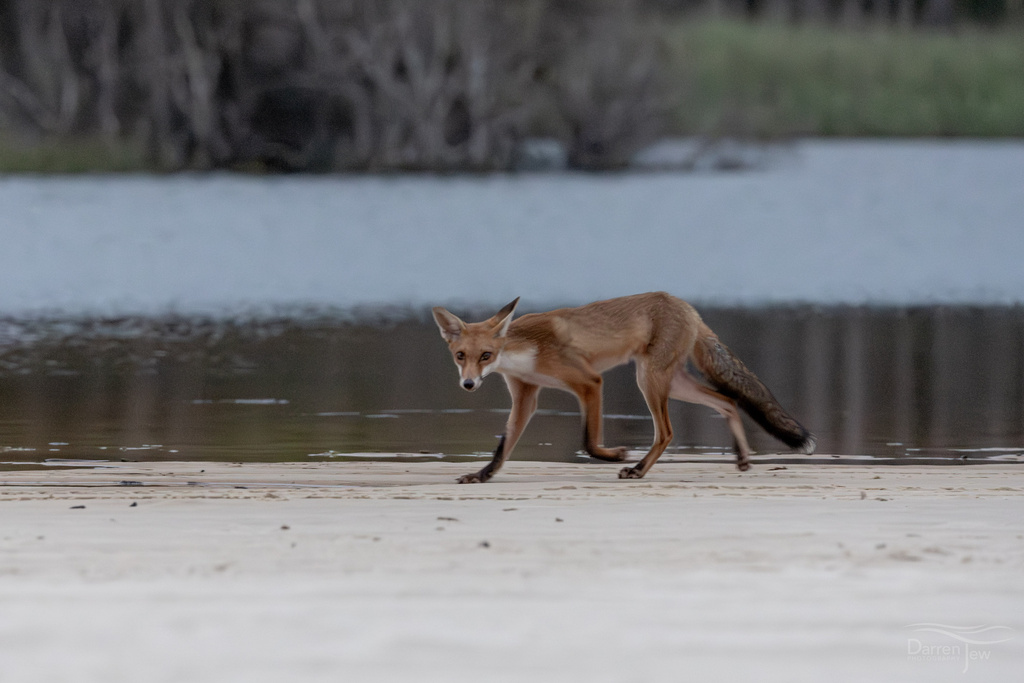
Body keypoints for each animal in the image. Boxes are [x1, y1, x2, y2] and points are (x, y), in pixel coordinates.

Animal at [432, 292, 815, 483]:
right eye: (460, 356)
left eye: (486, 355)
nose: (468, 383)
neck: (526, 352)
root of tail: (685, 305)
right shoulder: (526, 396)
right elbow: (503, 448)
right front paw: (482, 475)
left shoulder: (589, 382)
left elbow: (588, 441)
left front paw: (616, 455)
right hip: (673, 383)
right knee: (727, 402)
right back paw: (743, 458)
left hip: (649, 380)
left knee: (667, 432)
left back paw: (639, 470)